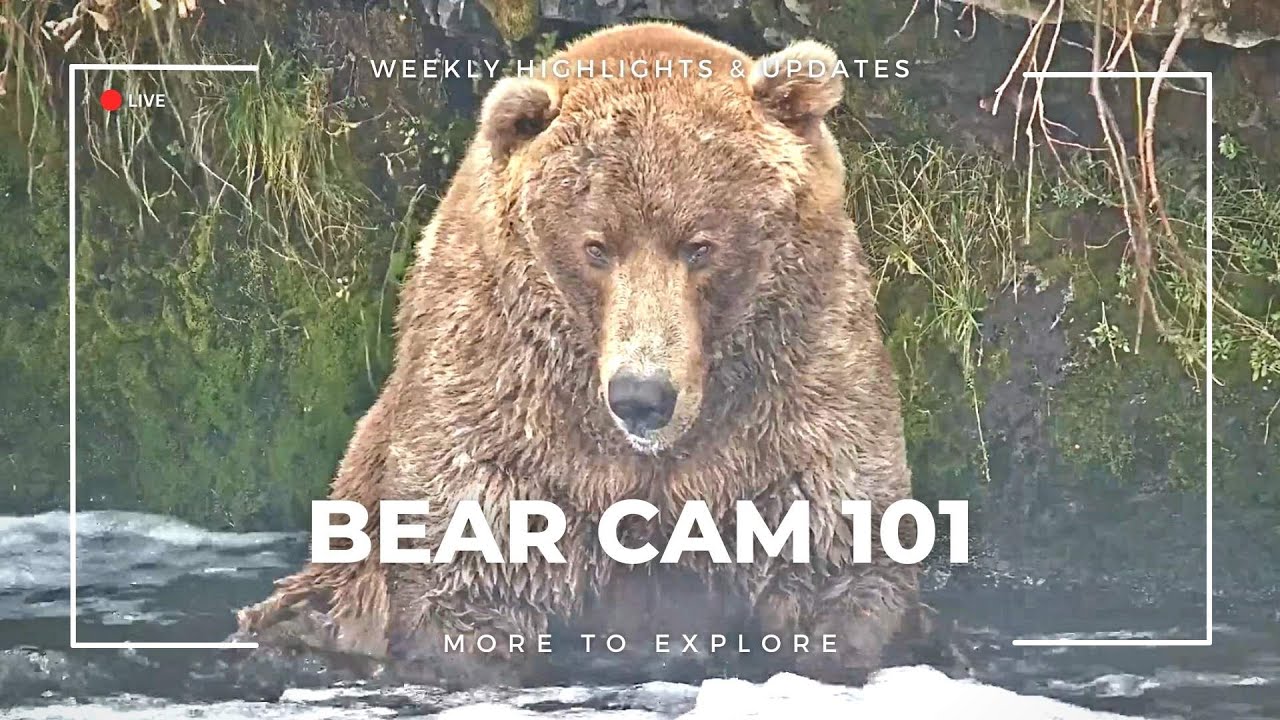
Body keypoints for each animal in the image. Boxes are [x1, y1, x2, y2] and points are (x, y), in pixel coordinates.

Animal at [234, 22, 922, 687]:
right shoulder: (507, 406)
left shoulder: (797, 383)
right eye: (597, 247)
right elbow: (473, 574)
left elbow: (833, 555)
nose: (642, 396)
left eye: (699, 245)